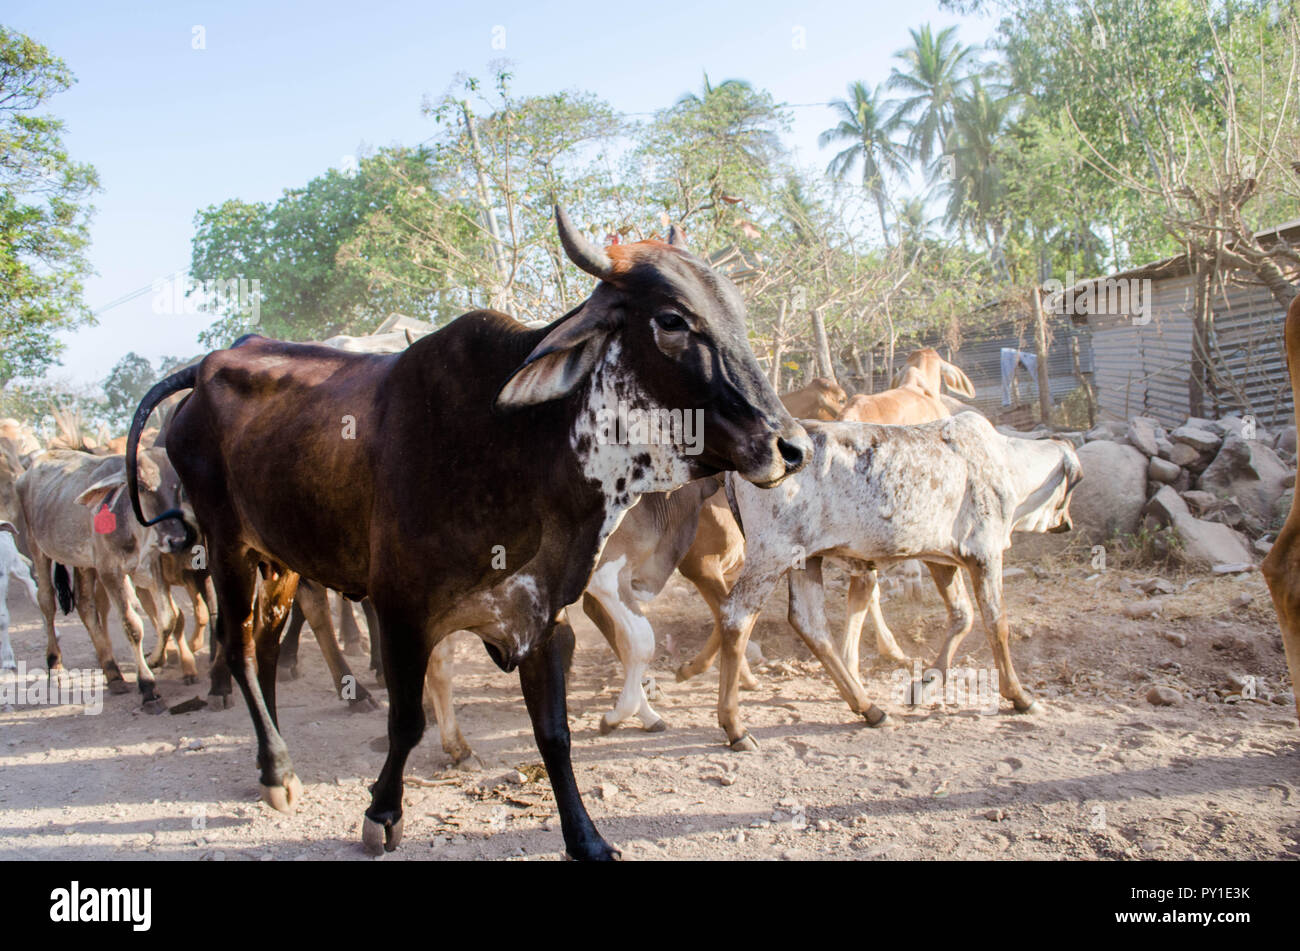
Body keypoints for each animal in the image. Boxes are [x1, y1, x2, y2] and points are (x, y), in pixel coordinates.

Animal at [14, 448, 190, 709]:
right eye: (142, 486)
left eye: (177, 485)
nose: (176, 539)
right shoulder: (110, 571)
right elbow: (132, 625)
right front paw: (148, 686)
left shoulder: (150, 567)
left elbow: (168, 616)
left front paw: (156, 659)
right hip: (38, 549)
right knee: (46, 602)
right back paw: (55, 665)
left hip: (84, 564)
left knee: (85, 606)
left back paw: (113, 672)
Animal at [125, 208, 810, 860]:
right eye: (671, 320)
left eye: (735, 310)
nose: (791, 446)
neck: (514, 445)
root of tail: (210, 363)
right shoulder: (401, 611)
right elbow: (408, 722)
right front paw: (382, 814)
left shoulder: (541, 616)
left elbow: (554, 734)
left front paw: (587, 839)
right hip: (226, 547)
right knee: (238, 646)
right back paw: (274, 766)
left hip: (282, 557)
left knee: (265, 645)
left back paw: (276, 762)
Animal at [708, 413, 1080, 751]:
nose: (1068, 524)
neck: (1006, 463)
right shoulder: (984, 555)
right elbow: (997, 624)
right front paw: (1019, 696)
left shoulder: (941, 559)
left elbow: (962, 617)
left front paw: (925, 684)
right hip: (771, 556)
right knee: (737, 617)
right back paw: (735, 726)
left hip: (805, 559)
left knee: (809, 623)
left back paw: (869, 709)